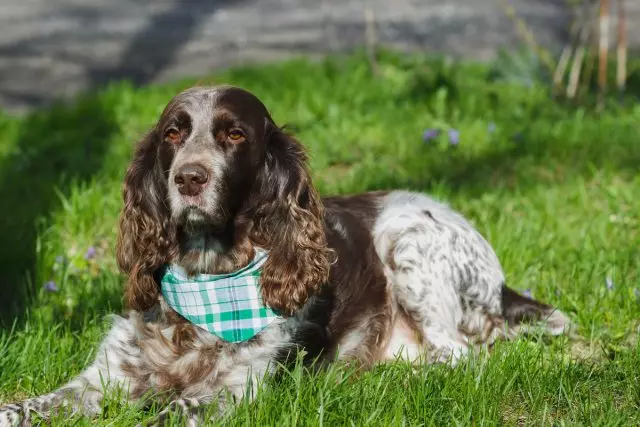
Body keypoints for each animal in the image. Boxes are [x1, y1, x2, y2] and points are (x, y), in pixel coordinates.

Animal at [0, 85, 568, 426]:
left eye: (234, 133)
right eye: (173, 133)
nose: (188, 177)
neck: (208, 279)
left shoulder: (241, 390)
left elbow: (174, 410)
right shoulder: (107, 376)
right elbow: (30, 405)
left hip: (406, 240)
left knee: (459, 357)